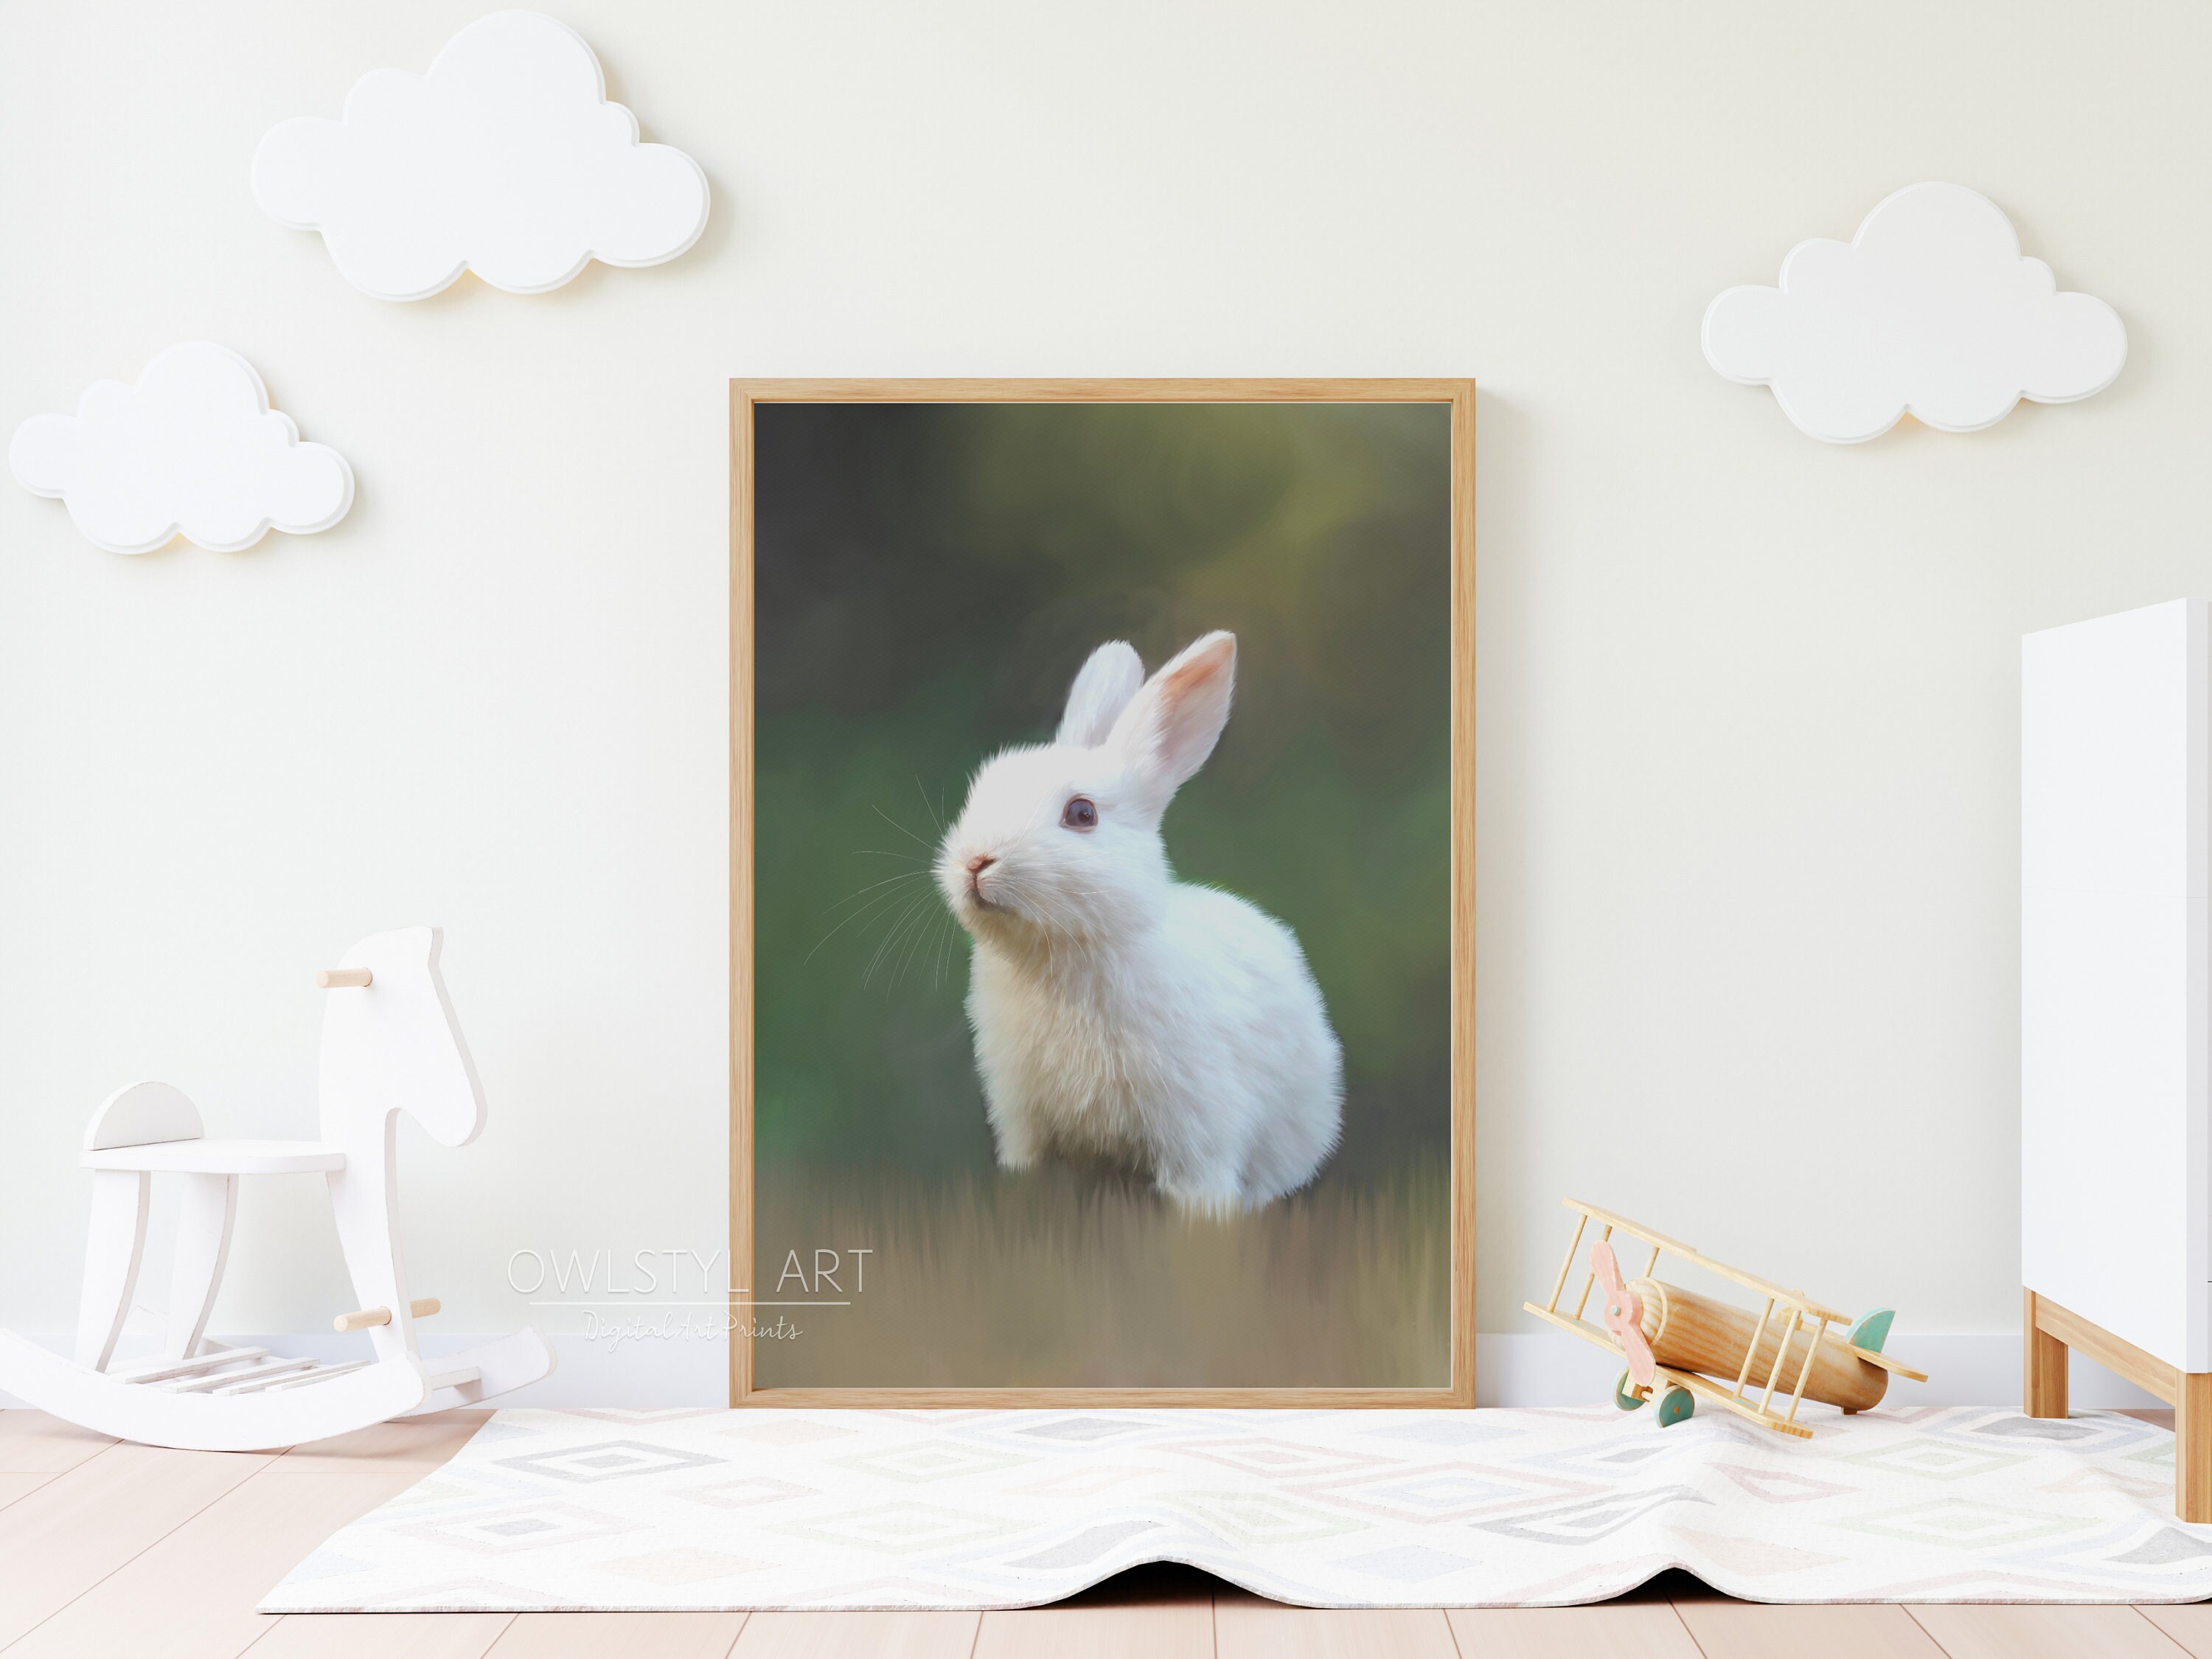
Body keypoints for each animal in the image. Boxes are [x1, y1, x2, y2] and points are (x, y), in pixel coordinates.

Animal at [934, 630, 1343, 1213]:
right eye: (980, 795)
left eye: (1082, 814)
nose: (975, 862)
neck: (1059, 956)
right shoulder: (1025, 1127)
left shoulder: (1197, 1130)